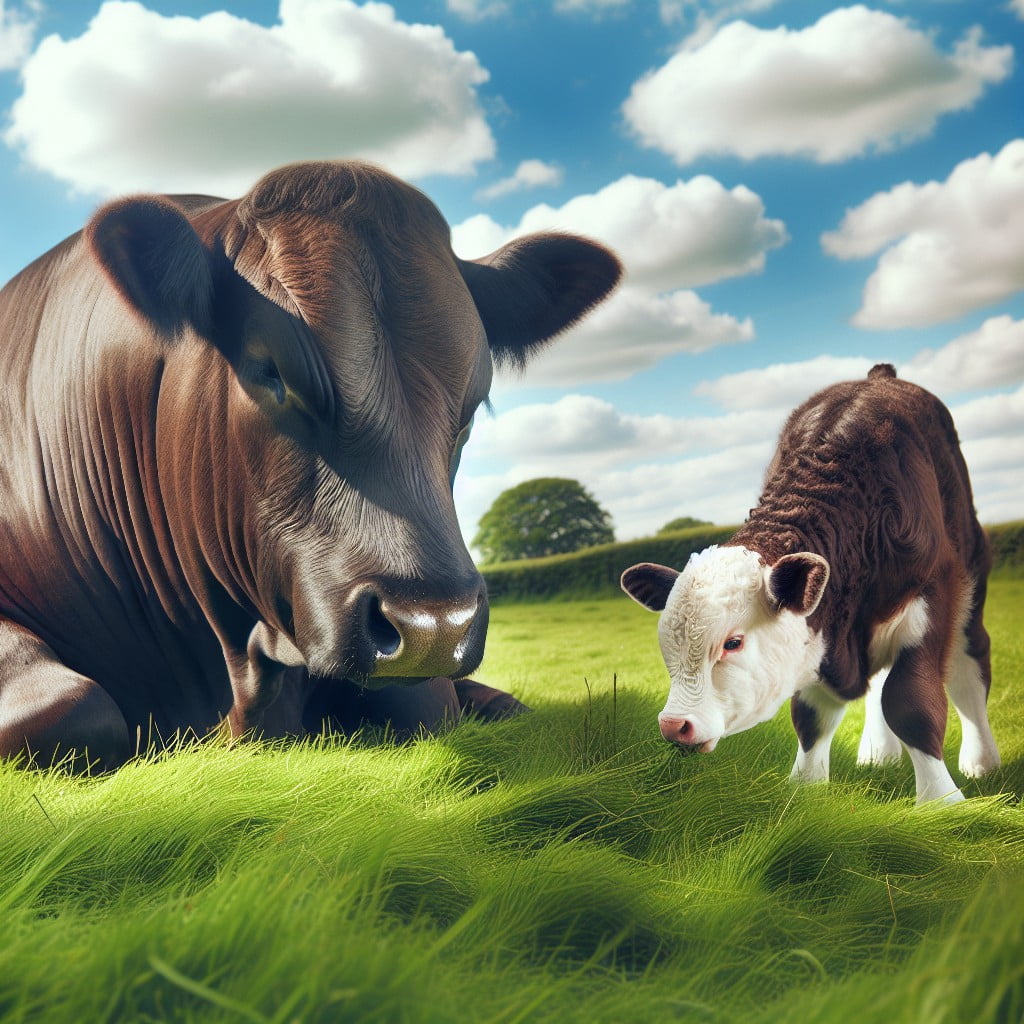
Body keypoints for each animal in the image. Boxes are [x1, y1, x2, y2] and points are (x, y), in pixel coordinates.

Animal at [621, 365, 999, 804]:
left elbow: (911, 702)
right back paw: (878, 754)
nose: (674, 725)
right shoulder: (821, 634)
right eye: (666, 643)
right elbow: (812, 715)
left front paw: (941, 801)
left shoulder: (929, 593)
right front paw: (805, 788)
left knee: (968, 666)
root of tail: (880, 375)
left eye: (733, 642)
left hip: (970, 577)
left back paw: (981, 762)